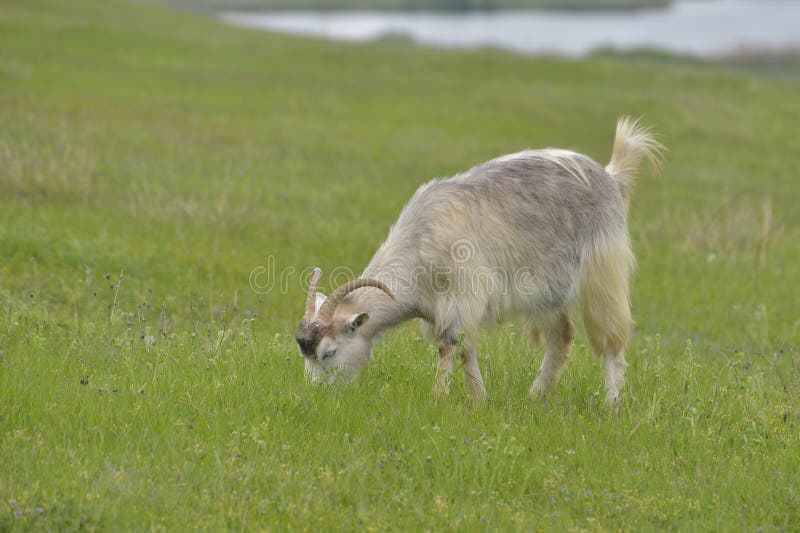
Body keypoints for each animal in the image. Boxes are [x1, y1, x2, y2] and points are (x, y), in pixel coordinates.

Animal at [295, 117, 663, 405]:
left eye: (329, 352)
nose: (315, 395)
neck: (420, 241)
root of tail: (611, 176)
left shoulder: (462, 298)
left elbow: (449, 347)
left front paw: (437, 398)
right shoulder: (459, 308)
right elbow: (467, 350)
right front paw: (479, 399)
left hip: (603, 274)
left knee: (611, 341)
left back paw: (611, 404)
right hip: (549, 291)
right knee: (562, 336)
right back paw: (537, 395)